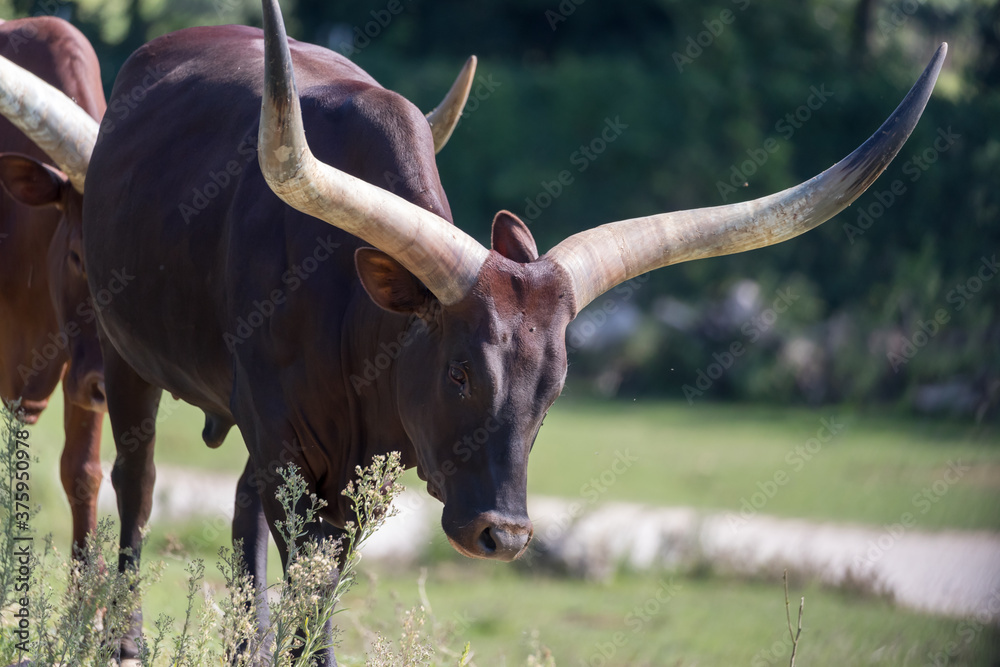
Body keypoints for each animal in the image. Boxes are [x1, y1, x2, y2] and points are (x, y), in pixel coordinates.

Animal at [0, 0, 947, 662]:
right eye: (459, 372)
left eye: (553, 389)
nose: (505, 535)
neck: (348, 305)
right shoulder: (288, 444)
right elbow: (285, 570)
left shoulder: (353, 474)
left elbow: (315, 591)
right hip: (125, 361)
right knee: (134, 484)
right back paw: (123, 638)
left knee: (230, 510)